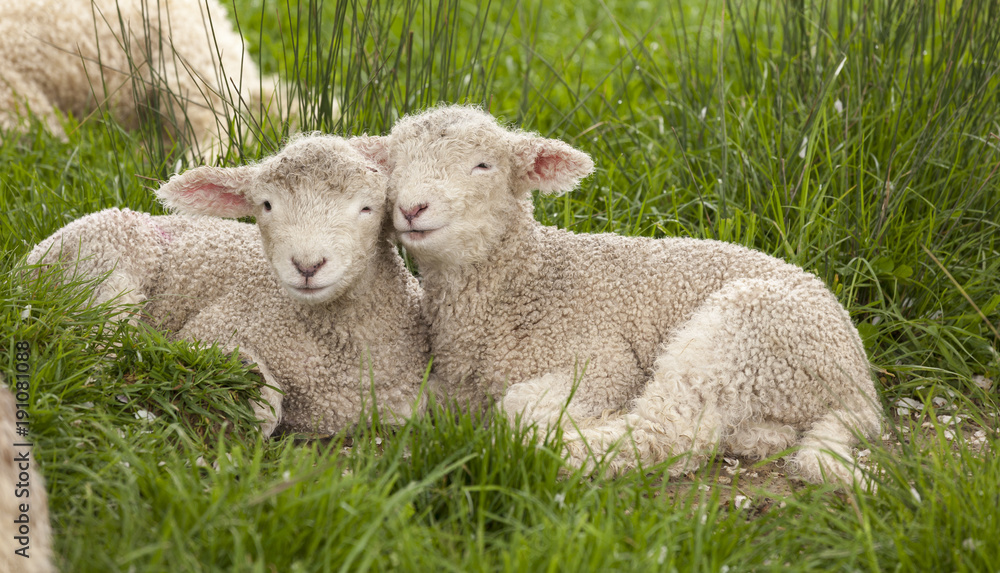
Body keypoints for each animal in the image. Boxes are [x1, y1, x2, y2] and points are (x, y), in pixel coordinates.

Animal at [26, 134, 430, 437]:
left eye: (367, 208)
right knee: (93, 350)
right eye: (266, 205)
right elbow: (268, 405)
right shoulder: (211, 326)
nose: (307, 265)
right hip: (103, 271)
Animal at [372, 104, 882, 485]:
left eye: (484, 165)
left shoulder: (603, 361)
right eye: (393, 165)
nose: (411, 208)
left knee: (668, 433)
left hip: (746, 332)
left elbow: (517, 406)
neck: (527, 283)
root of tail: (861, 387)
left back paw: (559, 450)